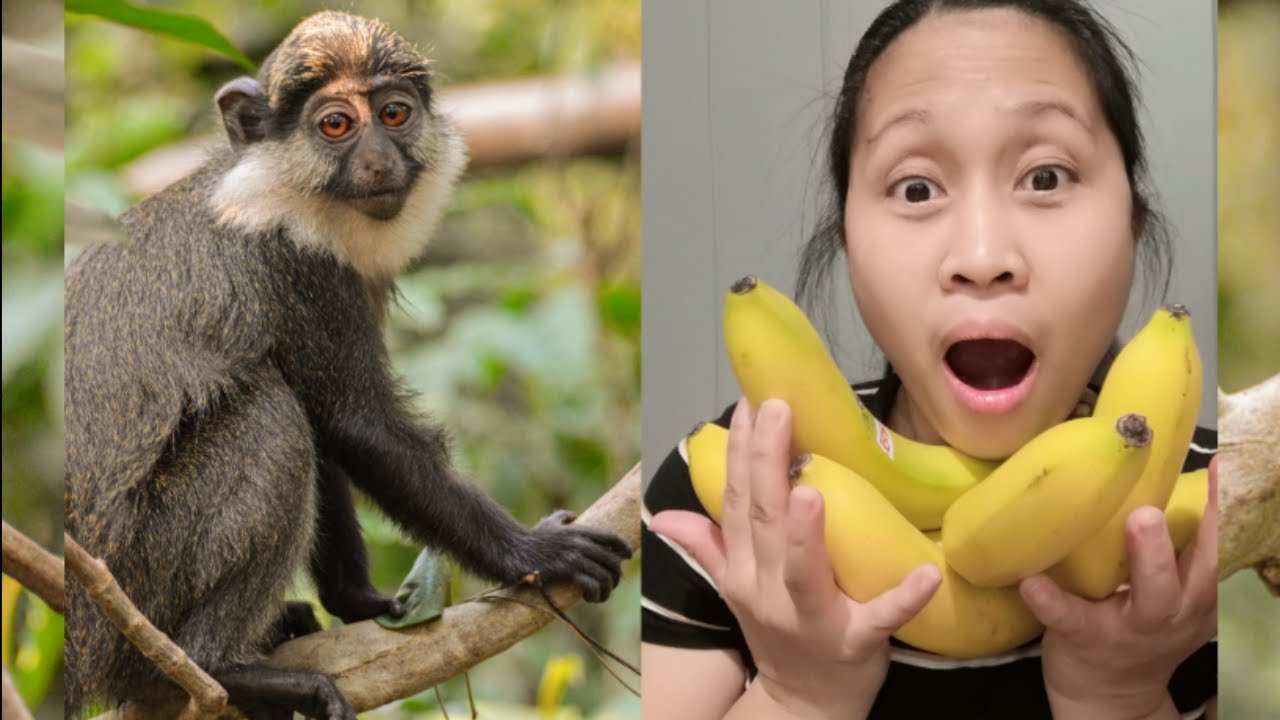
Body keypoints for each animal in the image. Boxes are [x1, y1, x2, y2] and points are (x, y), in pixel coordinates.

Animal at [63, 12, 632, 720]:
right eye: (335, 124)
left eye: (394, 113)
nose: (380, 160)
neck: (265, 186)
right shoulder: (301, 265)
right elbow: (362, 426)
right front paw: (535, 553)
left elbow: (332, 428)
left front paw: (357, 602)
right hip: (139, 584)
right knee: (272, 418)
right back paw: (220, 665)